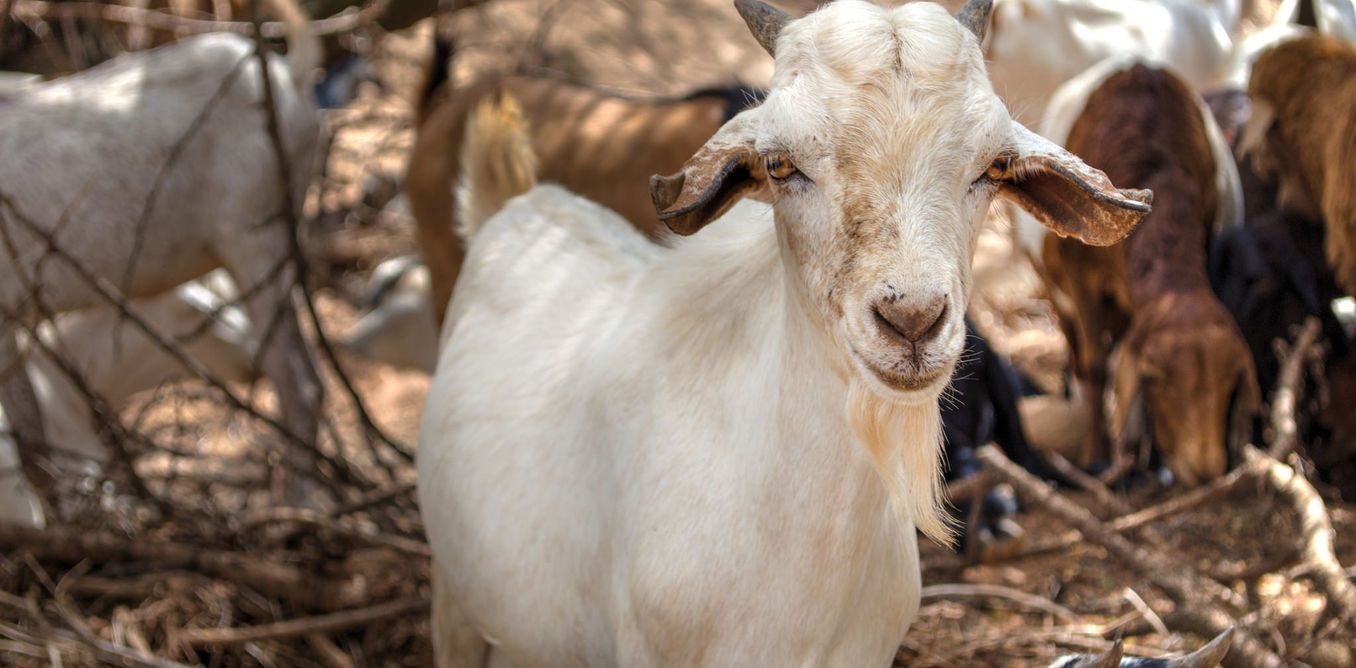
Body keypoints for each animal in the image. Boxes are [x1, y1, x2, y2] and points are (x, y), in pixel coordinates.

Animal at [1020, 59, 1256, 485]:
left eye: (1230, 384)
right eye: (1160, 383)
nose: (1204, 470)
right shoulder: (1079, 280)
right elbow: (1096, 367)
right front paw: (1097, 455)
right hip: (1053, 289)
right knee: (1076, 345)